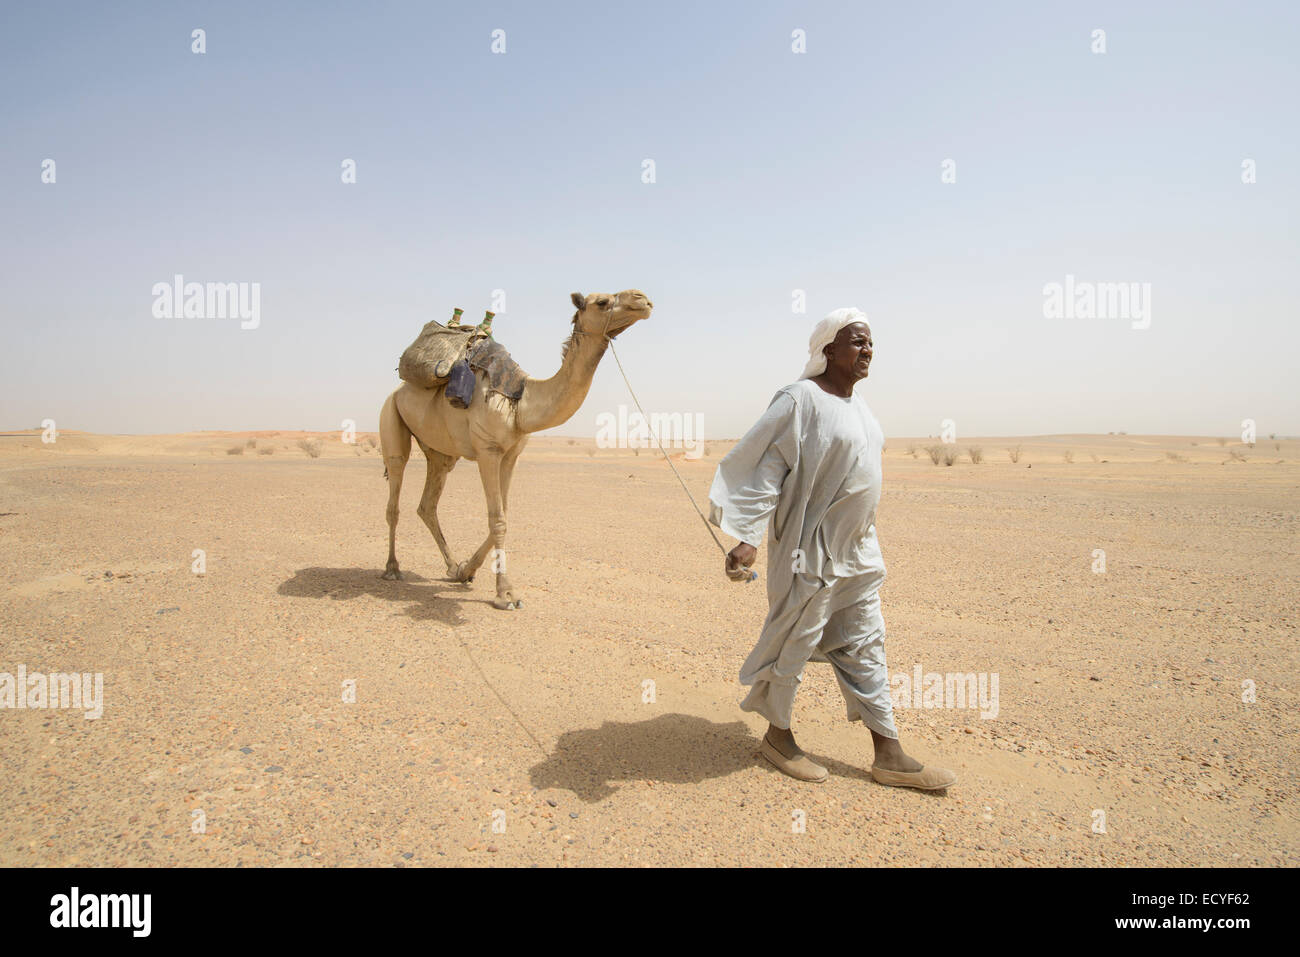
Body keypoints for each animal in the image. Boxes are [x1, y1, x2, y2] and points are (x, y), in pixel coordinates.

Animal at [379, 289, 654, 609]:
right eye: (602, 302)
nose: (642, 299)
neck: (521, 402)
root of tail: (398, 390)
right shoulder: (487, 450)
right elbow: (497, 519)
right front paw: (506, 594)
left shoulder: (512, 454)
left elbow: (505, 513)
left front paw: (467, 570)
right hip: (391, 415)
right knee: (395, 492)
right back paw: (392, 568)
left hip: (442, 453)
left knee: (427, 504)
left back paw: (452, 567)